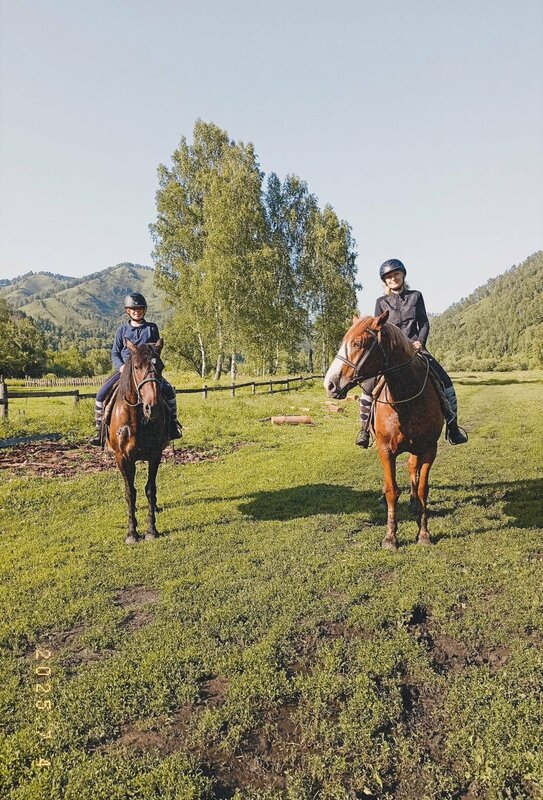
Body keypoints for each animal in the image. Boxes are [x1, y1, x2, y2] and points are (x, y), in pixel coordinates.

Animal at [106, 339, 170, 544]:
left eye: (161, 366)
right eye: (136, 367)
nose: (153, 407)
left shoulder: (155, 455)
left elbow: (150, 489)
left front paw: (151, 529)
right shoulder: (122, 458)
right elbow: (130, 492)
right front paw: (132, 533)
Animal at [324, 311, 444, 550]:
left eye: (358, 343)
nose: (329, 384)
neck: (405, 399)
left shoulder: (429, 449)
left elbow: (423, 489)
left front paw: (424, 533)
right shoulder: (385, 450)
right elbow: (391, 490)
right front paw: (390, 537)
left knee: (412, 469)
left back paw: (414, 504)